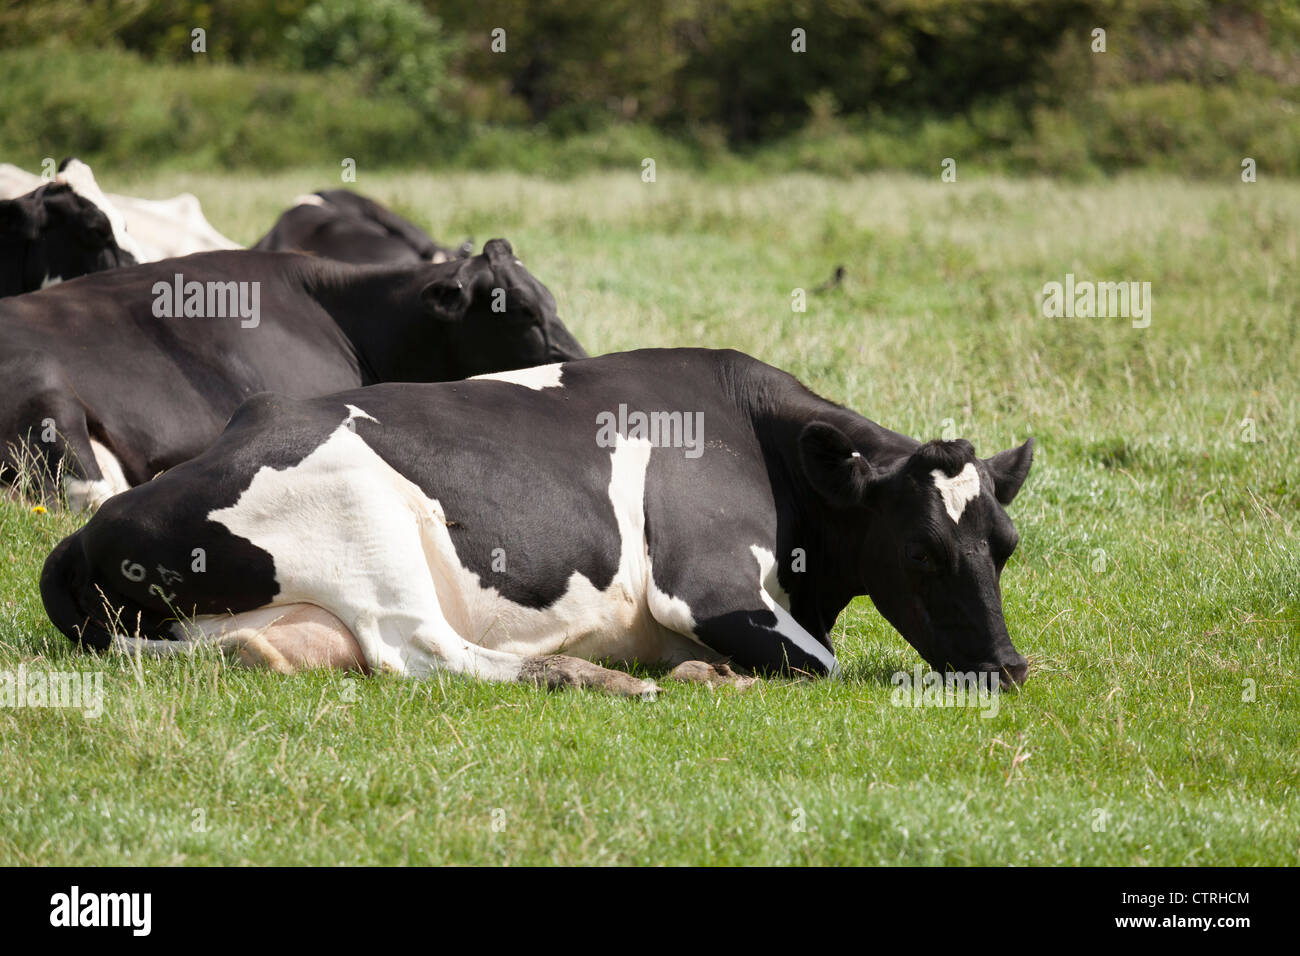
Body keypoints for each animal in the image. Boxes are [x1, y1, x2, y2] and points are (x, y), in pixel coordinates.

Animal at [39, 348, 1035, 697]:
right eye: (921, 550)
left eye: (1007, 546)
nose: (1008, 664)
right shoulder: (703, 587)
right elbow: (818, 662)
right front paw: (708, 672)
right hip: (368, 524)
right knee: (429, 651)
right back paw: (595, 675)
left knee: (286, 648)